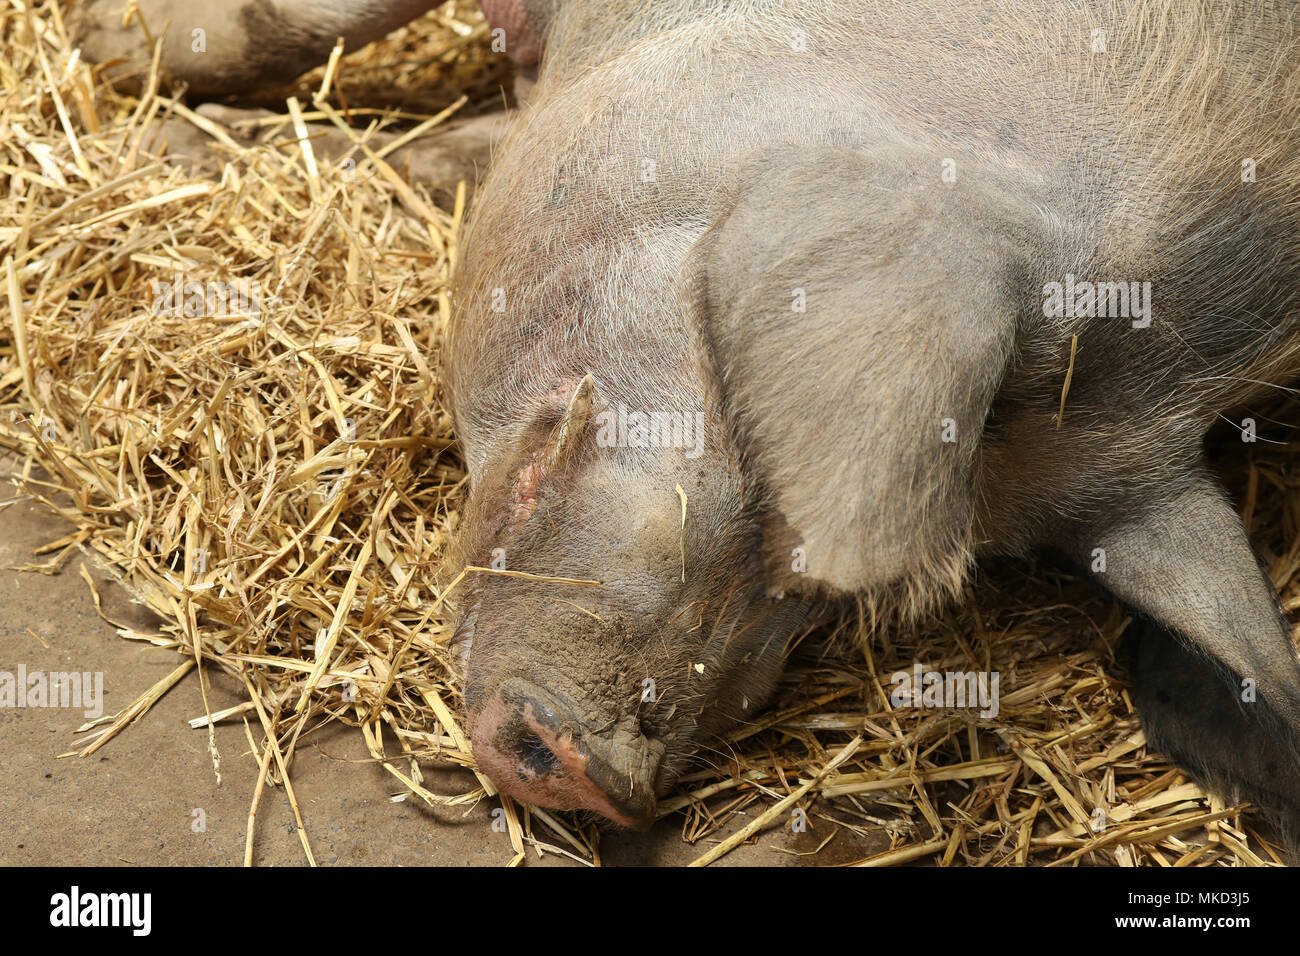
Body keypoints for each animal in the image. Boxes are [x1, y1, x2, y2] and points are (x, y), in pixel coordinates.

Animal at [78, 0, 1300, 843]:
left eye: (819, 604)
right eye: (762, 433)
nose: (606, 779)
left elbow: (437, 155)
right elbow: (298, 34)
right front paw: (118, 70)